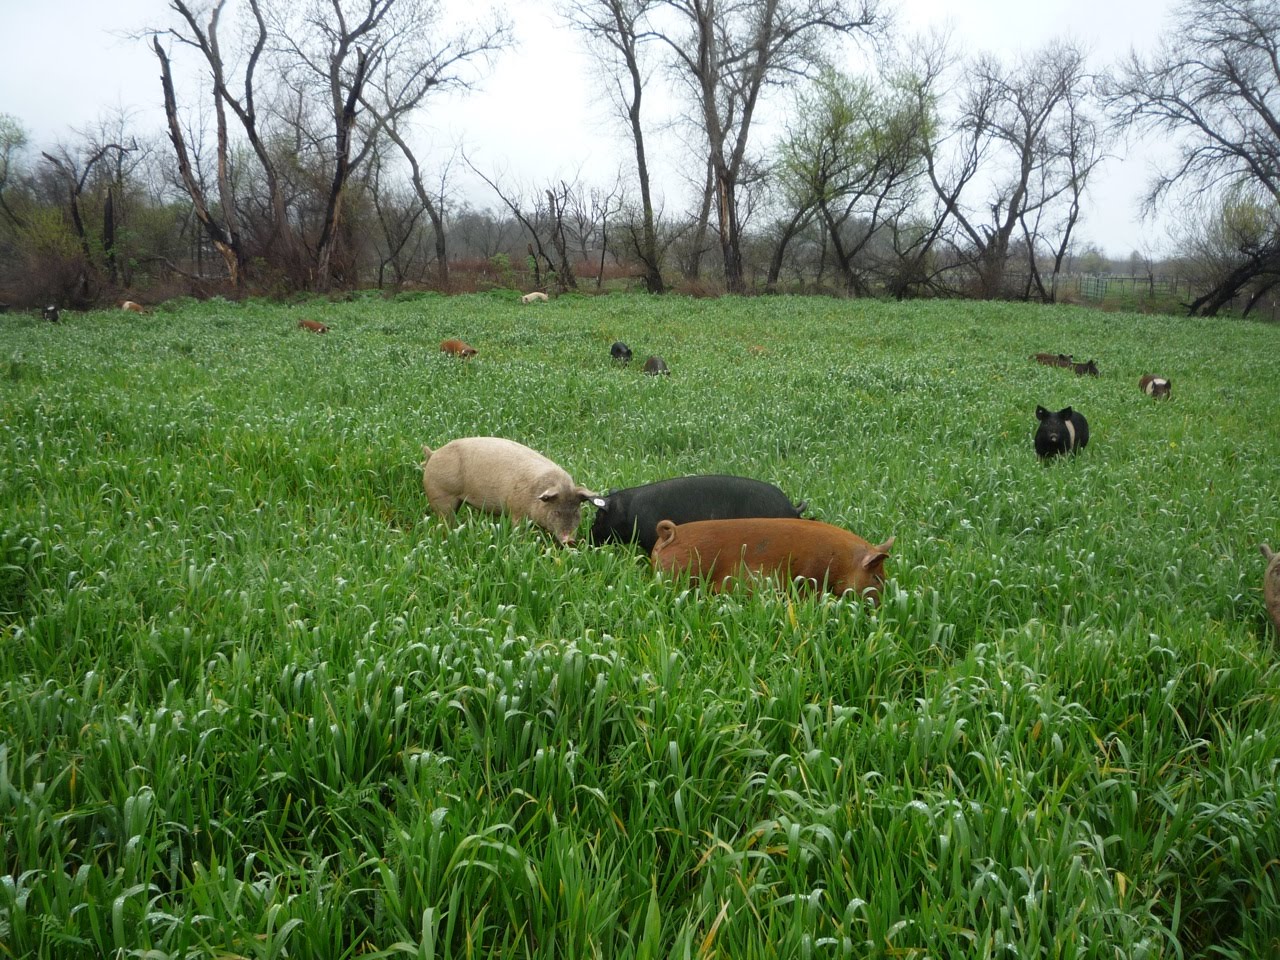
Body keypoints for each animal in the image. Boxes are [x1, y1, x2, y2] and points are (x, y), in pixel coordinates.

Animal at [421, 437, 595, 545]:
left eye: (576, 512)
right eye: (557, 512)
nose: (570, 540)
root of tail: (434, 453)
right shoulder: (517, 512)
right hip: (440, 495)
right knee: (445, 519)